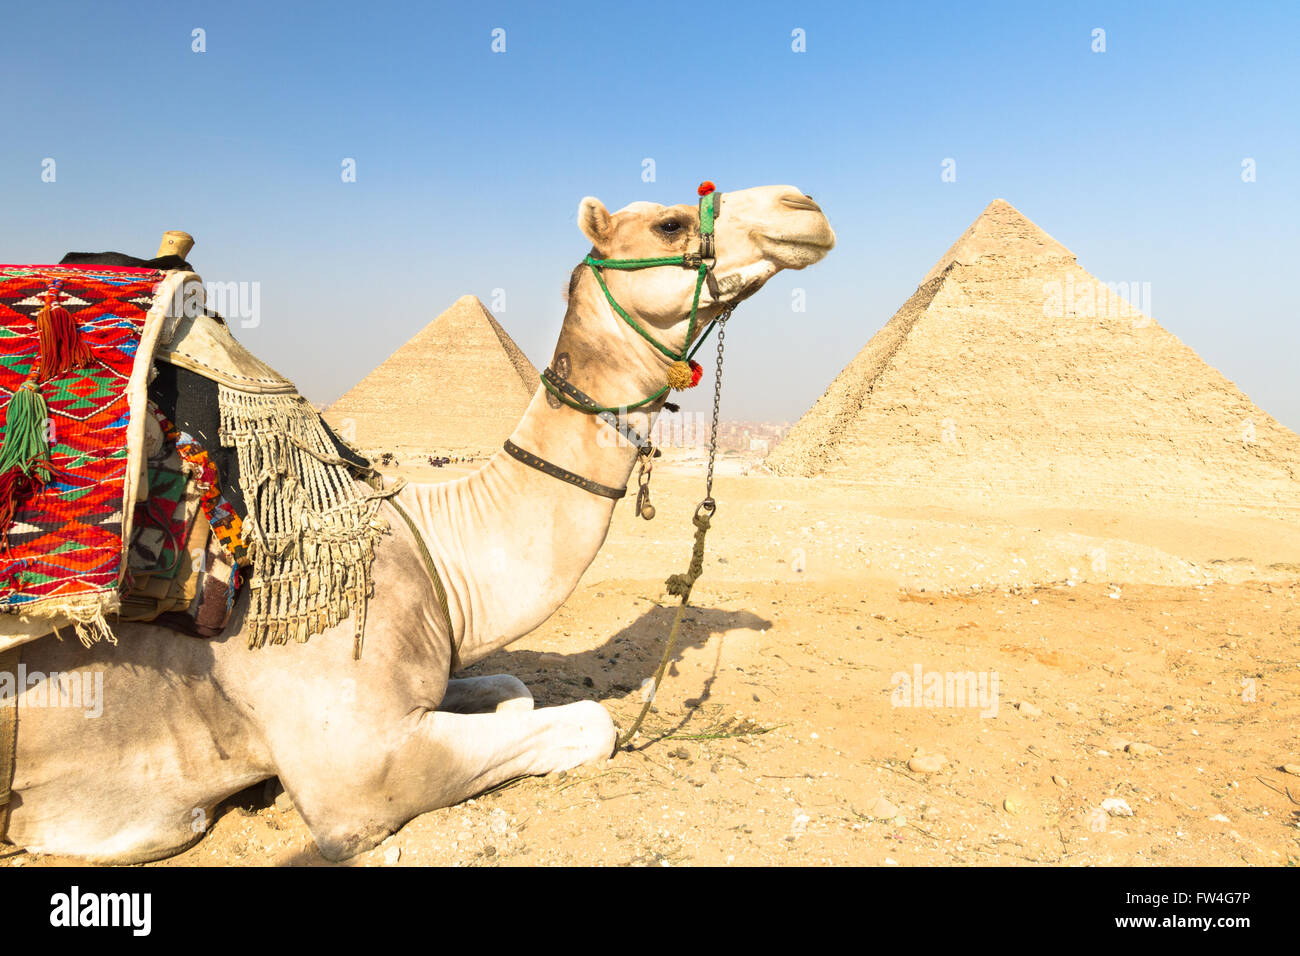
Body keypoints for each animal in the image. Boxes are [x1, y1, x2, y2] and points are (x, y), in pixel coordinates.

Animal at [3, 184, 834, 862]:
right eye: (668, 222)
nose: (803, 206)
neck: (428, 545)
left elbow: (516, 689)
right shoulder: (356, 773)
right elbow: (593, 723)